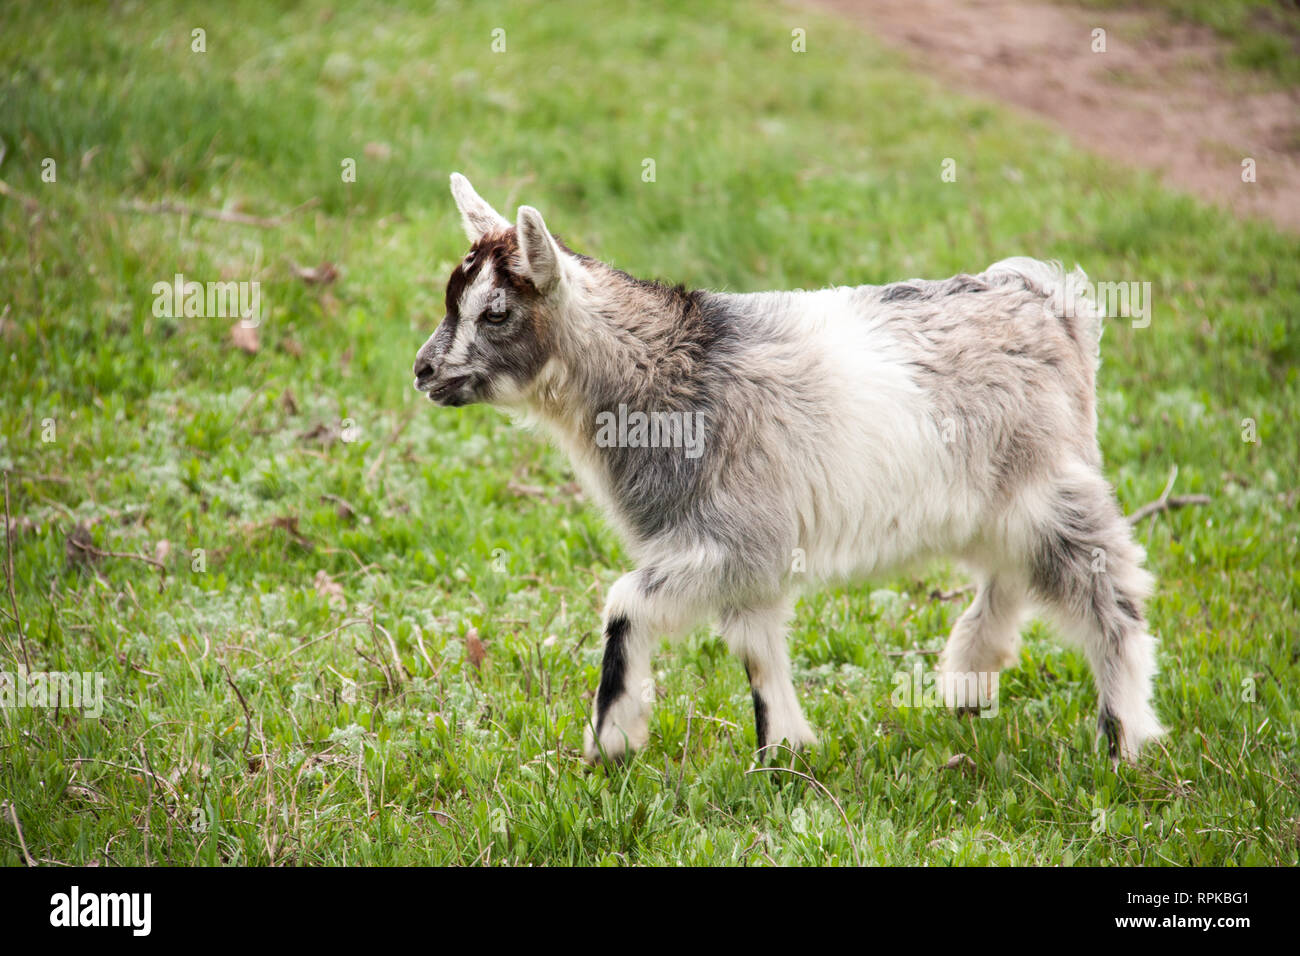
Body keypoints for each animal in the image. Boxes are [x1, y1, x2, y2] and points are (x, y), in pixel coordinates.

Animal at [412, 174, 1164, 766]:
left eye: (497, 312)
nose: (422, 371)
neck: (665, 372)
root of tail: (1047, 298)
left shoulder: (734, 536)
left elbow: (626, 605)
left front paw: (613, 742)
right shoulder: (746, 557)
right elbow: (756, 646)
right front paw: (784, 749)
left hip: (1051, 488)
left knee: (1110, 593)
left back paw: (1126, 738)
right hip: (989, 501)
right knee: (1006, 578)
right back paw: (969, 680)